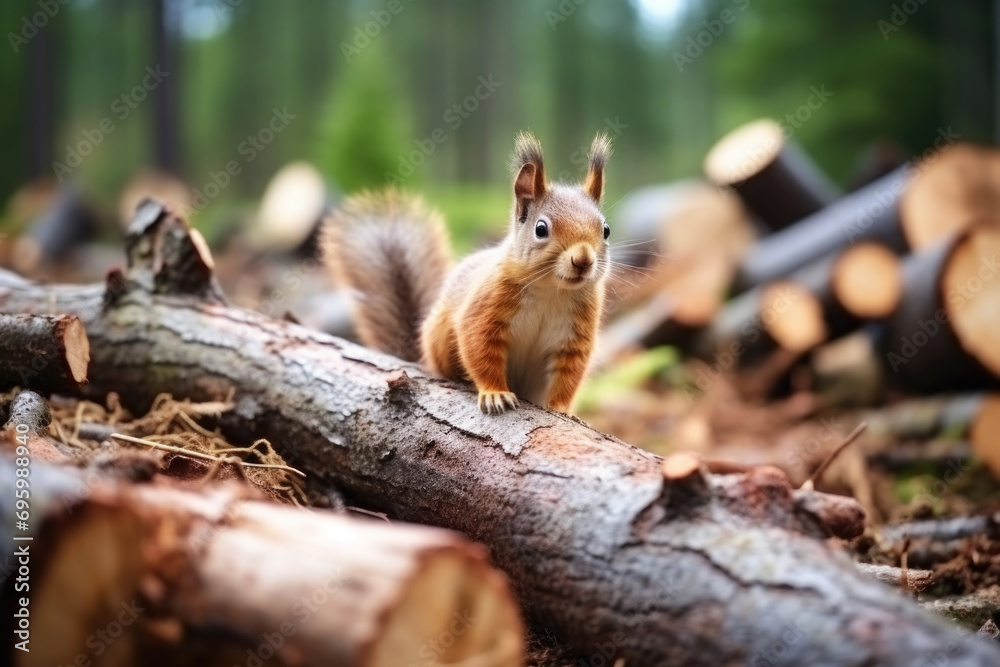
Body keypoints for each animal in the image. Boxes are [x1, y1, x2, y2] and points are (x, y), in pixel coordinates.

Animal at [323, 131, 612, 415]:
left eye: (606, 230)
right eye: (541, 229)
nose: (583, 260)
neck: (551, 291)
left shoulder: (575, 336)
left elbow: (568, 376)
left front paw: (563, 409)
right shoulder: (486, 307)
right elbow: (480, 349)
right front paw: (495, 393)